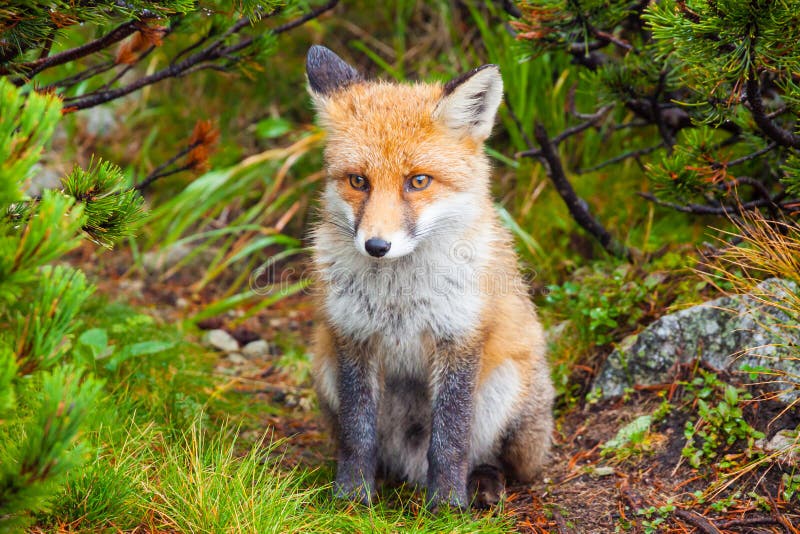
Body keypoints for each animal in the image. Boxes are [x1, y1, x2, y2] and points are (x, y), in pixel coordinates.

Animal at [306, 45, 554, 510]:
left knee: (495, 458)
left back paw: (484, 484)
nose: (377, 246)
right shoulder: (353, 336)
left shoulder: (459, 335)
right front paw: (351, 498)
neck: (399, 298)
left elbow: (451, 439)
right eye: (358, 181)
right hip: (323, 365)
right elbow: (357, 435)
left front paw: (447, 507)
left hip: (508, 391)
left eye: (418, 181)